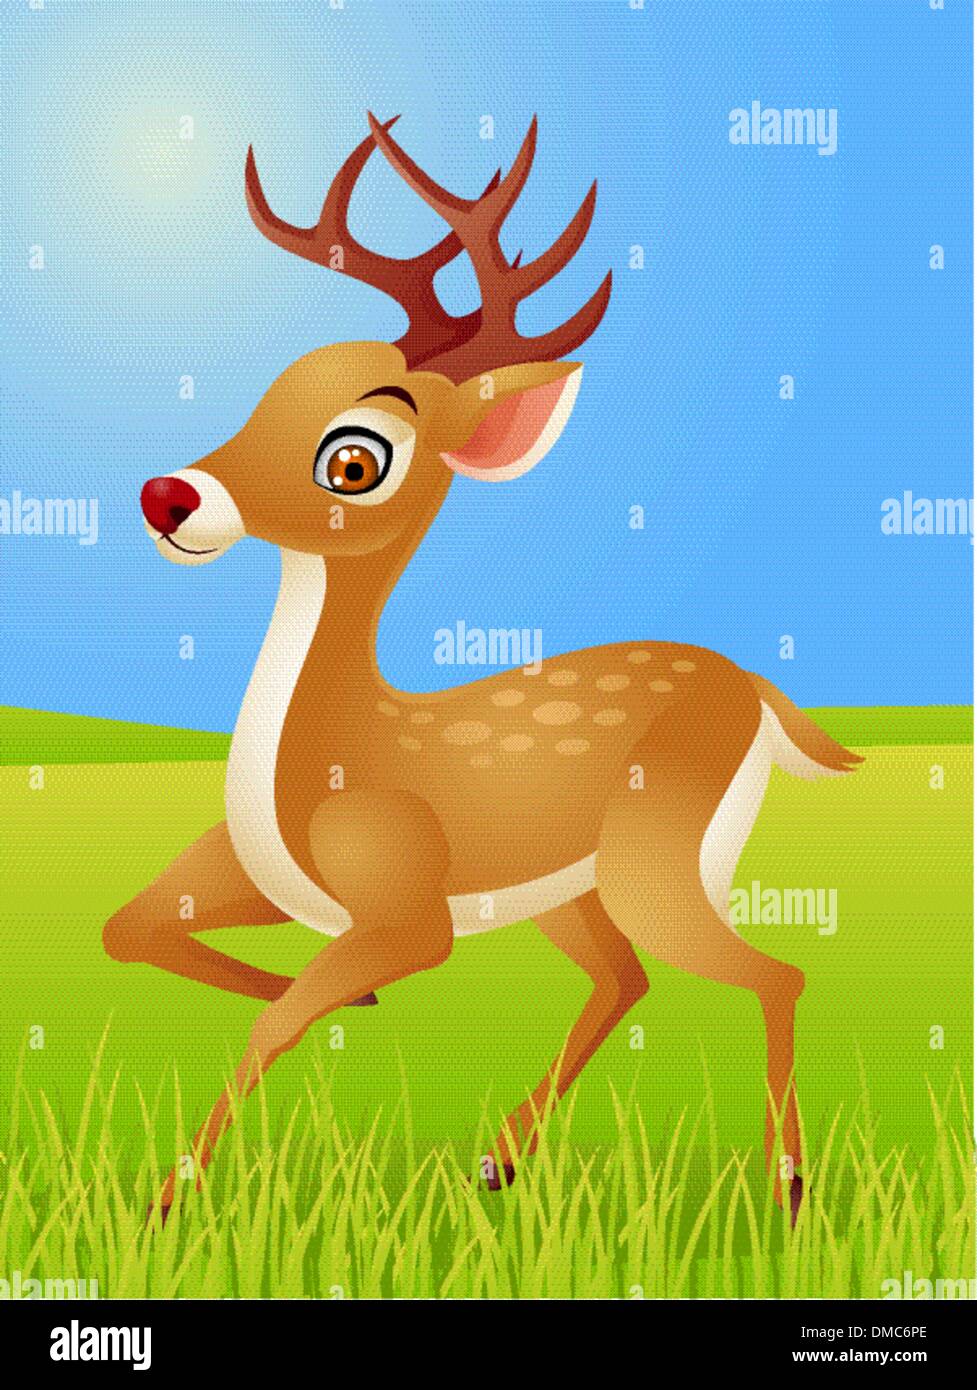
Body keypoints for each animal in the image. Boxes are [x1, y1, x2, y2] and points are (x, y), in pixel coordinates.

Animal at [106, 114, 862, 1223]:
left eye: (355, 458)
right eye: (272, 386)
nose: (169, 497)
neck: (326, 756)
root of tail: (754, 689)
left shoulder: (408, 906)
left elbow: (281, 1019)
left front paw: (172, 1198)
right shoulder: (246, 877)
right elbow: (131, 928)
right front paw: (349, 999)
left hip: (657, 859)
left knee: (773, 973)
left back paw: (789, 1189)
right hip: (570, 894)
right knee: (625, 978)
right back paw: (501, 1162)